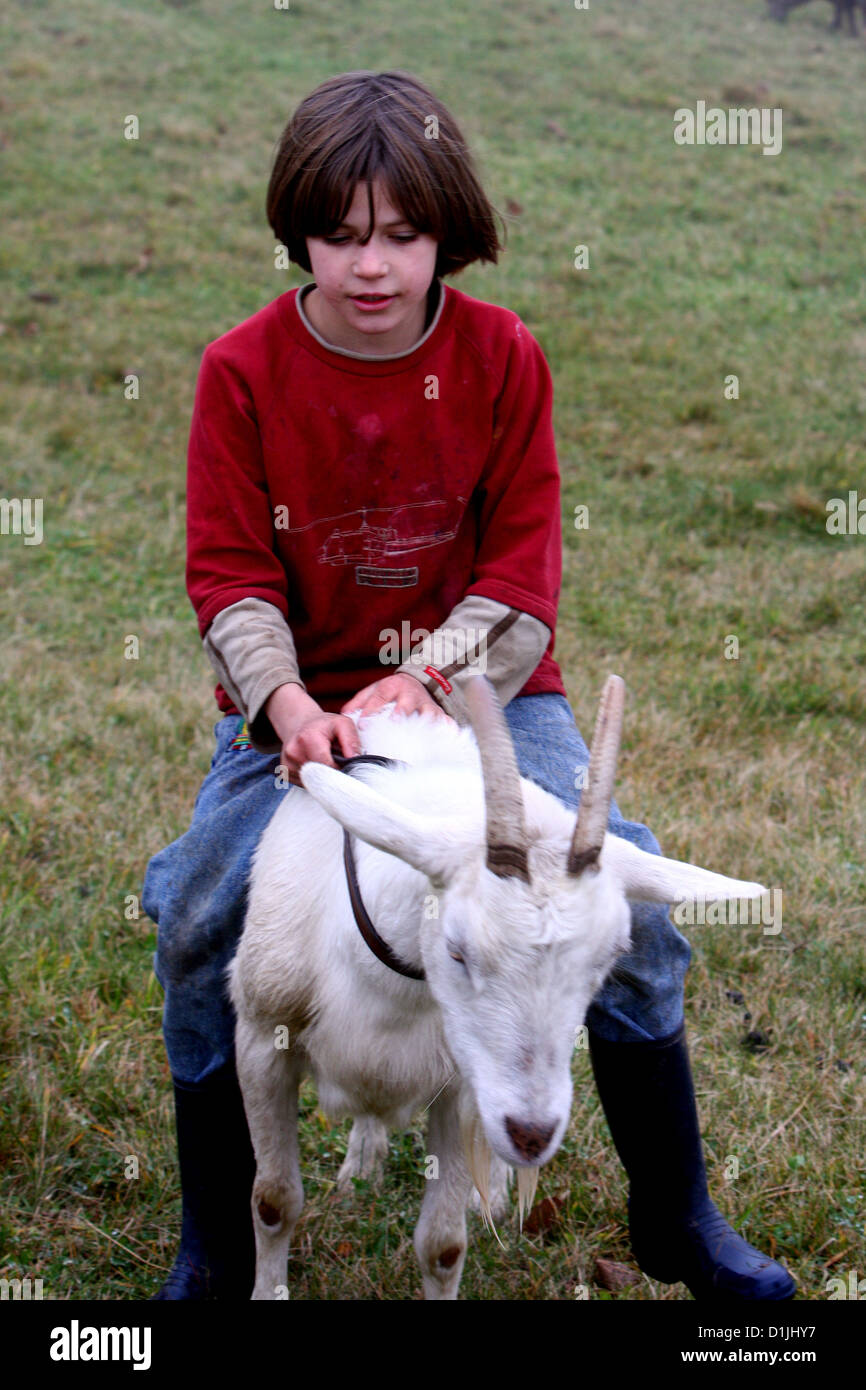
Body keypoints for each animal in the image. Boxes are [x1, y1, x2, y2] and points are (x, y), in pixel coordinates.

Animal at [228, 674, 768, 1300]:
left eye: (610, 958)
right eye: (458, 950)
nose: (532, 1134)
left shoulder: (464, 1088)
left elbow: (442, 1246)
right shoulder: (261, 1043)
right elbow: (273, 1202)